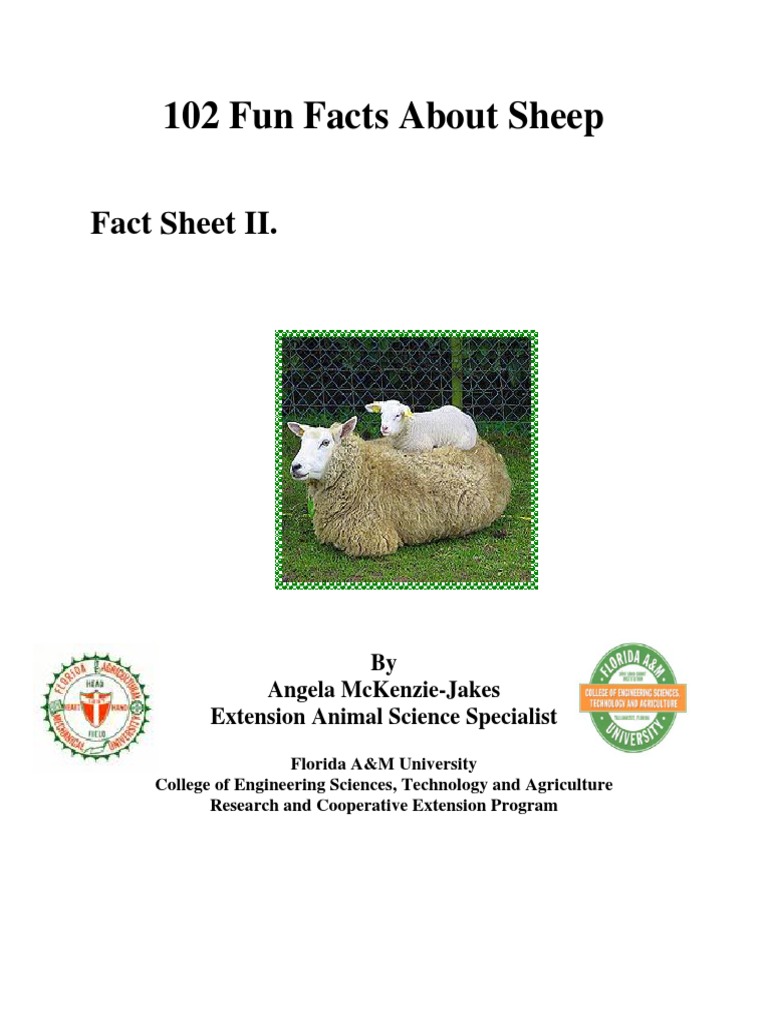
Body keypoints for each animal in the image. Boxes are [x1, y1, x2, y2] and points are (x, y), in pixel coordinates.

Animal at [287, 416, 510, 557]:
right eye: (302, 441)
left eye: (325, 443)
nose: (295, 467)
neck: (363, 472)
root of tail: (486, 447)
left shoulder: (372, 538)